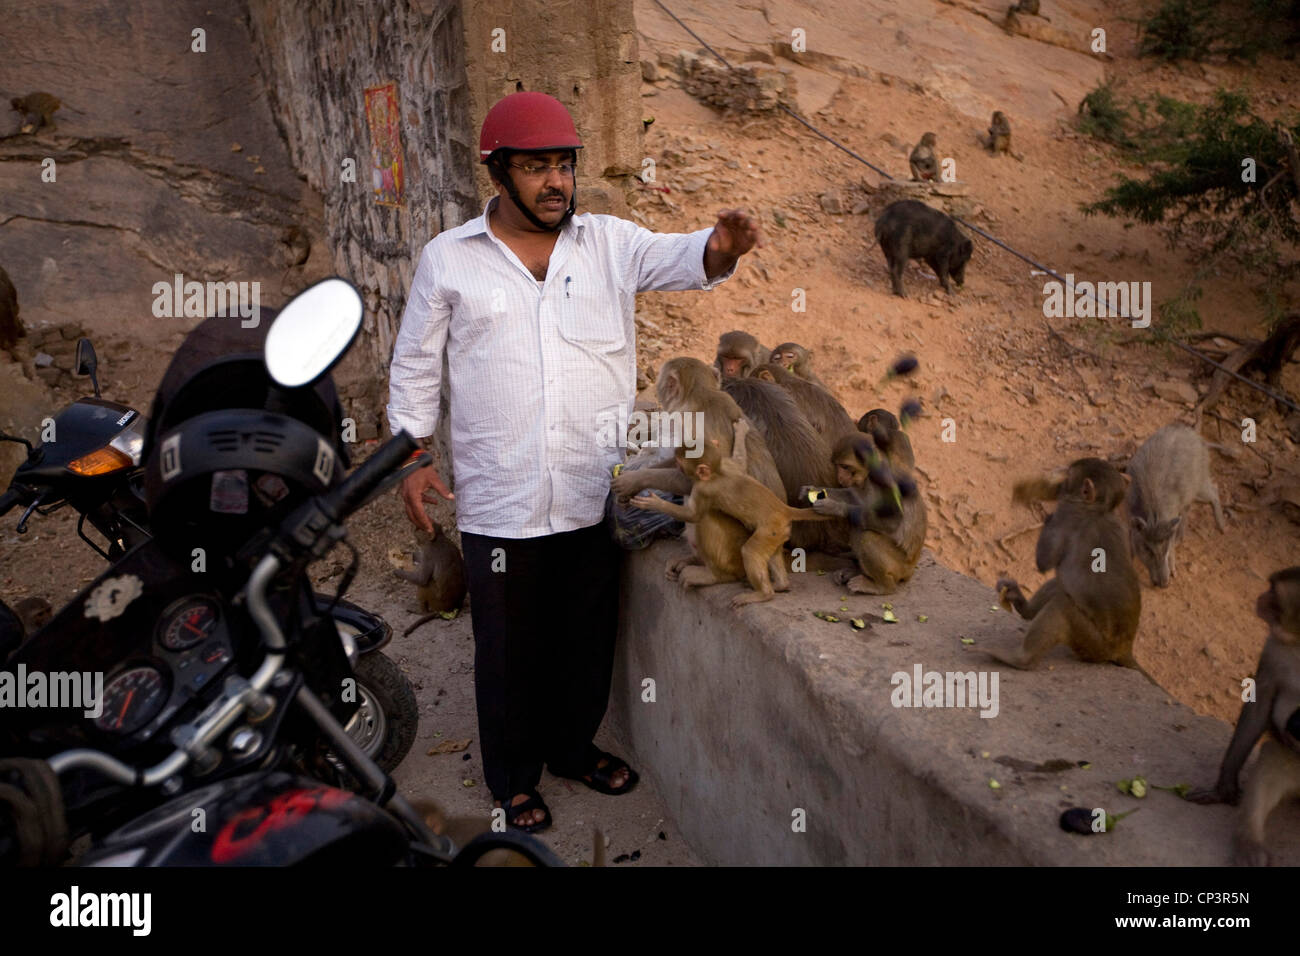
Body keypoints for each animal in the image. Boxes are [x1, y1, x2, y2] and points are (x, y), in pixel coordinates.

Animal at [631, 419, 831, 609]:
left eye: (680, 466)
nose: (677, 467)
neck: (717, 472)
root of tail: (784, 509)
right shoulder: (728, 464)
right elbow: (740, 461)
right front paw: (741, 432)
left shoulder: (703, 489)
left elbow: (693, 515)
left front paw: (654, 503)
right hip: (779, 532)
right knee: (772, 553)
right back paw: (781, 584)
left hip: (770, 529)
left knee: (748, 550)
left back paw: (761, 593)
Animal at [802, 431, 926, 595]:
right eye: (837, 466)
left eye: (845, 466)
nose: (840, 477)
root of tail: (911, 568)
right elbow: (852, 495)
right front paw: (812, 490)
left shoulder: (881, 477)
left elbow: (892, 521)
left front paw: (836, 508)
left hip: (899, 566)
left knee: (866, 535)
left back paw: (881, 586)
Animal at [986, 458, 1151, 680]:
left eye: (1068, 476)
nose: (1058, 476)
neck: (1098, 509)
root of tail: (1124, 649)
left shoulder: (1068, 518)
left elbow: (1044, 562)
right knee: (1061, 586)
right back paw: (1024, 608)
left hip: (1093, 644)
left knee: (1062, 605)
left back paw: (1021, 659)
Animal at [1187, 567, 1300, 865]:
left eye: (1273, 593)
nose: (1260, 597)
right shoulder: (1275, 649)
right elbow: (1259, 707)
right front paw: (1224, 786)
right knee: (1271, 761)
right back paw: (1250, 845)